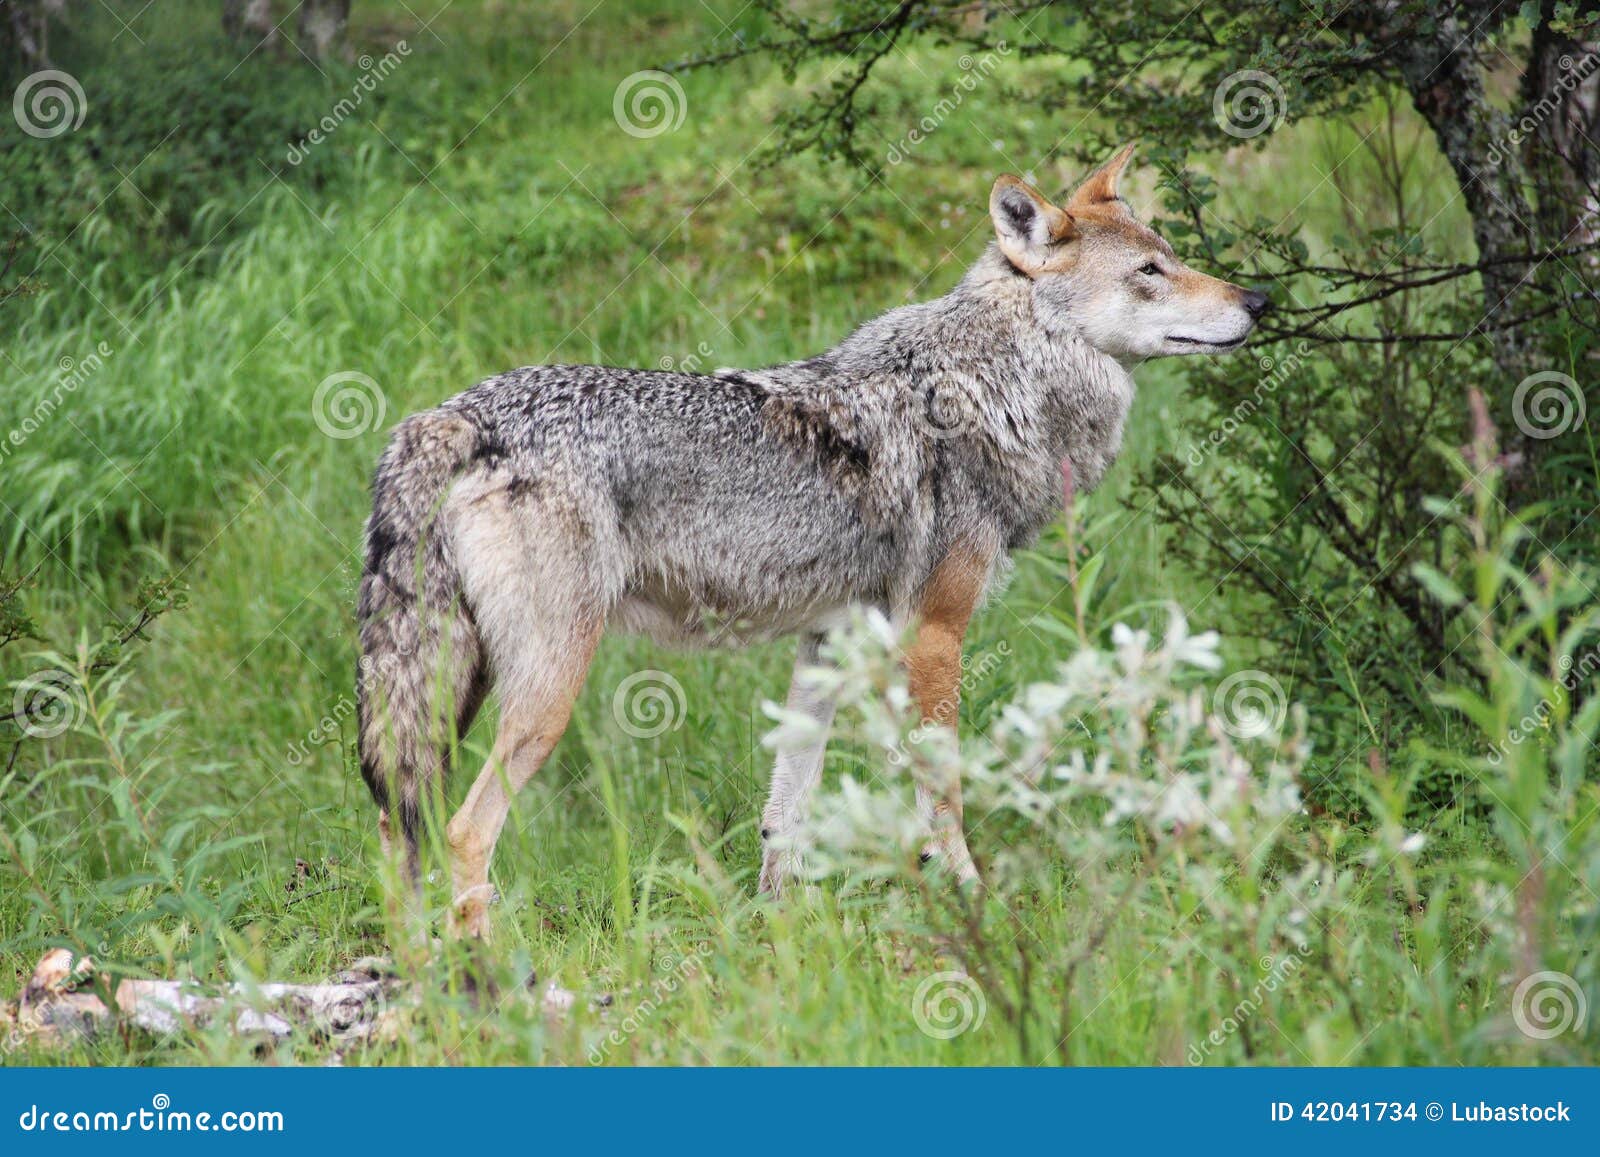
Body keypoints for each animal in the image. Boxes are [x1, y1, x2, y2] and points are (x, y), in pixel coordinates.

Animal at [355, 144, 1268, 937]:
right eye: (1149, 273)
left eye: (1172, 255)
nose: (1259, 302)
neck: (993, 387)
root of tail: (454, 415)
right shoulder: (934, 638)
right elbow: (944, 796)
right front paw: (972, 898)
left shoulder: (830, 645)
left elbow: (787, 811)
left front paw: (781, 933)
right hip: (543, 692)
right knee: (465, 830)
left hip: (452, 693)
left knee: (397, 835)